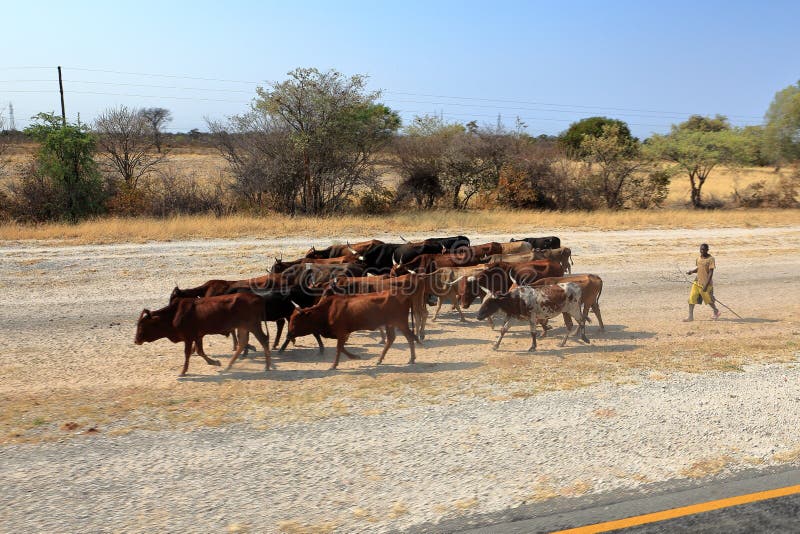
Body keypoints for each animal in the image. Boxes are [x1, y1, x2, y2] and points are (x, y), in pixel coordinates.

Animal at [134, 293, 272, 376]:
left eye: (142, 325)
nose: (136, 340)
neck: (174, 314)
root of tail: (258, 298)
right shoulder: (198, 336)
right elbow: (200, 351)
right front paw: (215, 362)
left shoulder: (189, 337)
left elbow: (188, 353)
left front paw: (183, 371)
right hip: (243, 327)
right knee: (243, 343)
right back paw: (229, 366)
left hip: (253, 326)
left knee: (263, 340)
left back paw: (267, 366)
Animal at [285, 290, 419, 369]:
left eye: (296, 320)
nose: (288, 335)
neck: (329, 310)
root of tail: (405, 295)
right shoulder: (344, 333)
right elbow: (342, 348)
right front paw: (355, 356)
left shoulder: (341, 332)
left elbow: (339, 348)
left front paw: (334, 365)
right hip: (390, 324)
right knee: (391, 339)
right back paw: (380, 360)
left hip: (400, 323)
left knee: (409, 337)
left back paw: (412, 358)